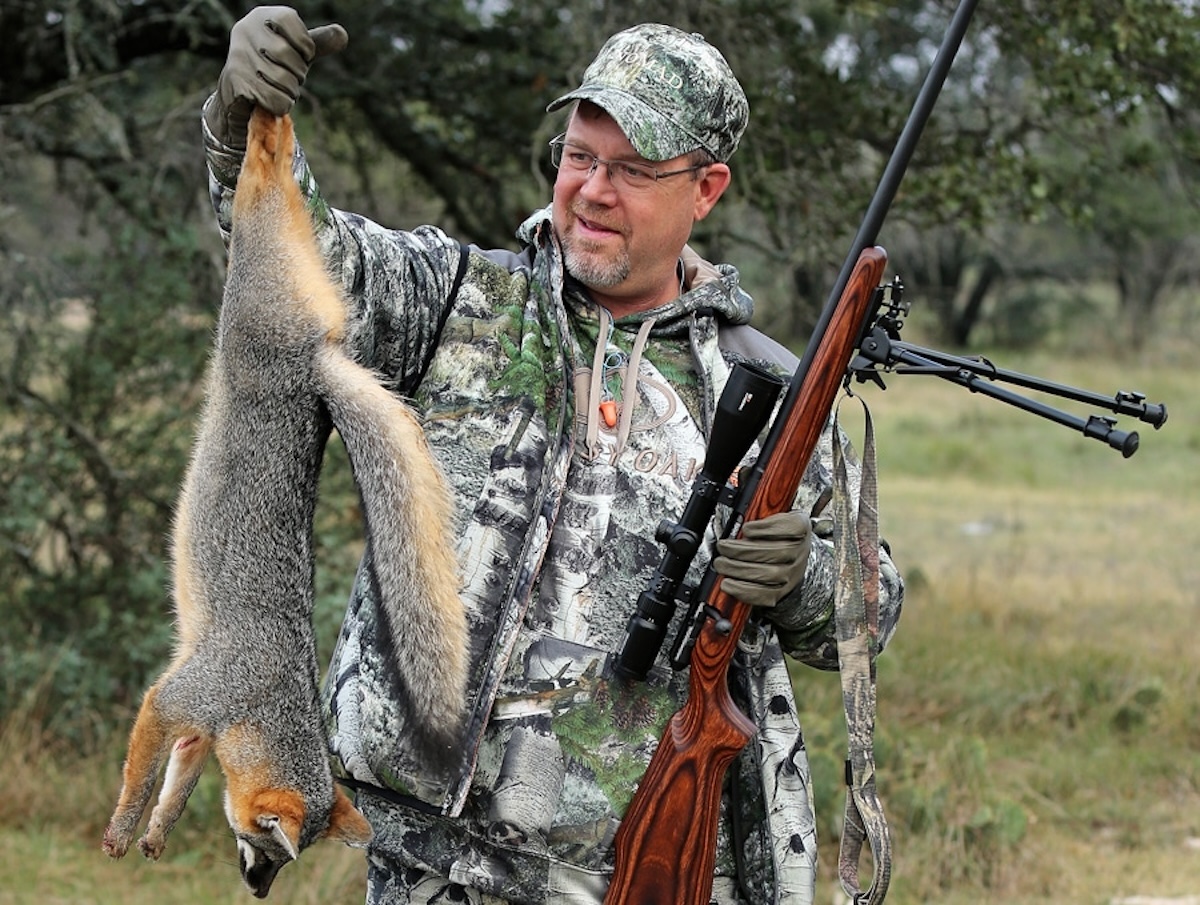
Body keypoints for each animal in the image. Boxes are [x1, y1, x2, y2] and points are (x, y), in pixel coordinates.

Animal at [102, 108, 468, 897]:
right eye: (261, 848)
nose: (259, 891)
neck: (265, 698)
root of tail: (315, 366)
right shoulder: (171, 701)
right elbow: (141, 776)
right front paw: (122, 829)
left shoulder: (195, 727)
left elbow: (176, 785)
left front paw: (155, 834)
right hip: (253, 285)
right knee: (261, 189)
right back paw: (262, 114)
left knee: (272, 184)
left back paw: (271, 115)